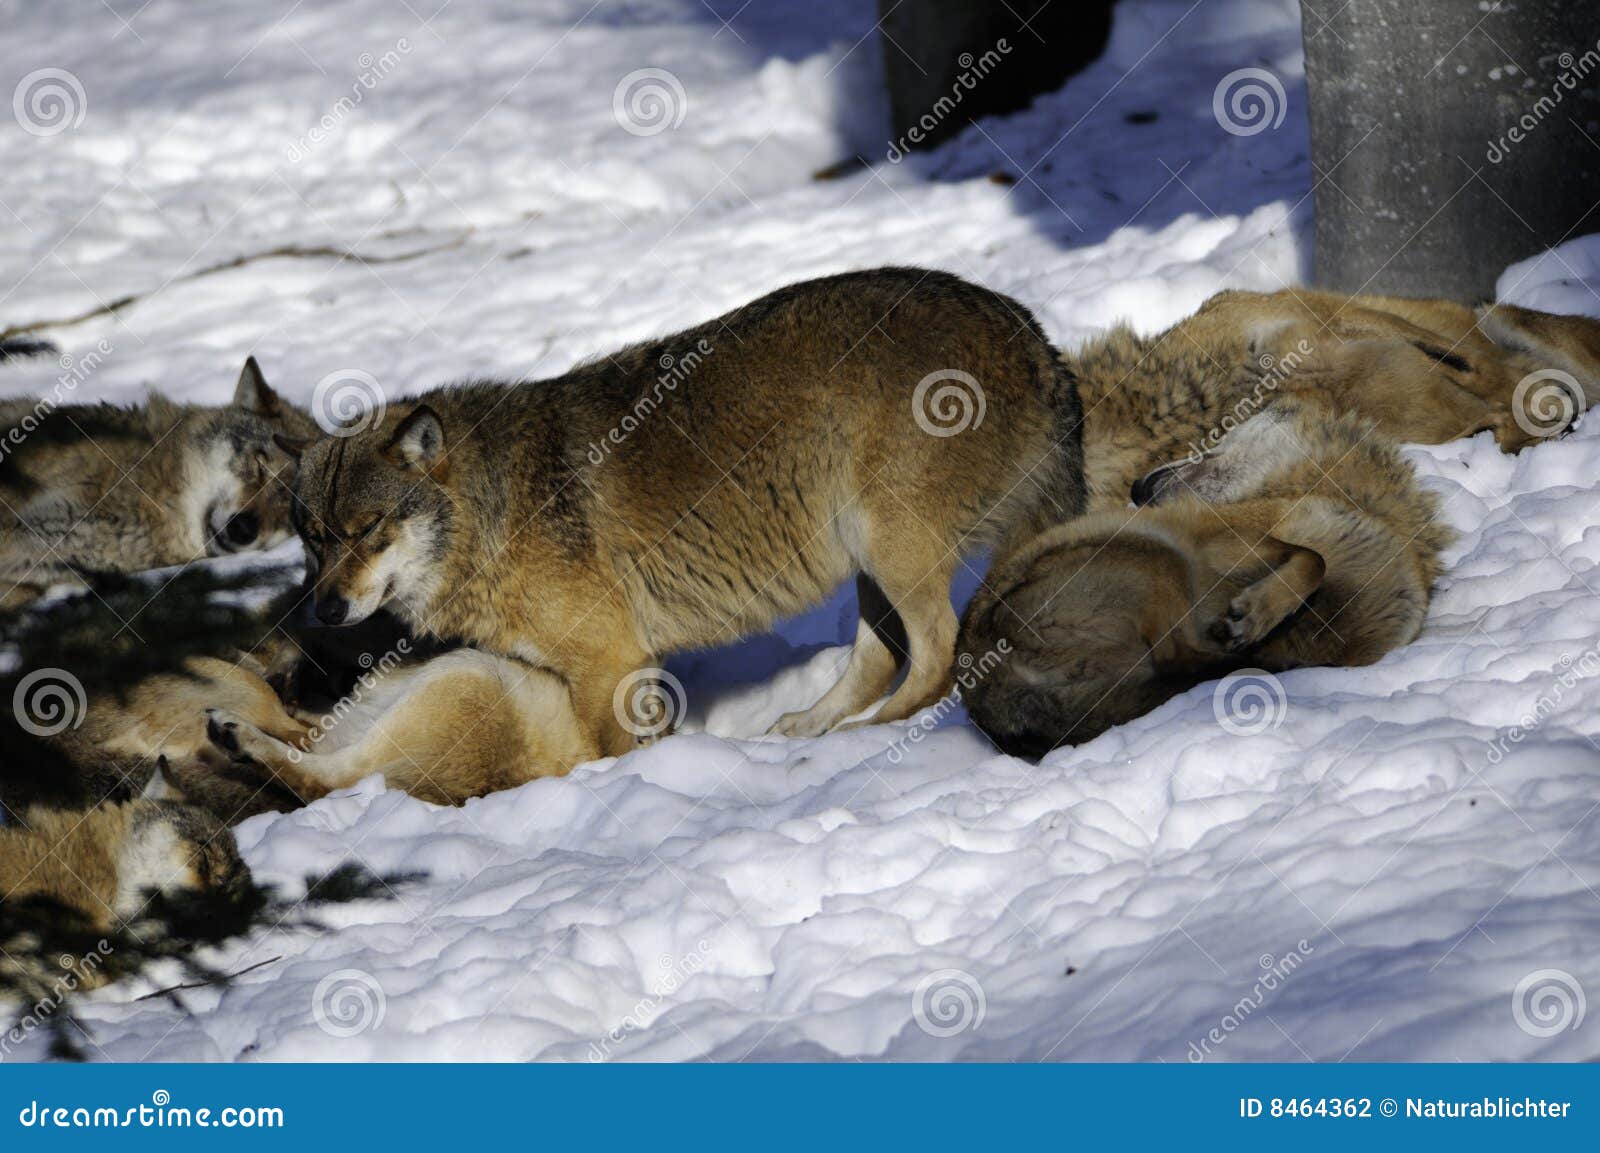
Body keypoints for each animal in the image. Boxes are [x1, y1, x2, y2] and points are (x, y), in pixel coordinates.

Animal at [278, 268, 1084, 755]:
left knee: (939, 651)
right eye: (315, 540)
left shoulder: (610, 665)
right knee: (883, 654)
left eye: (369, 531)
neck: (493, 511)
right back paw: (811, 726)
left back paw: (869, 734)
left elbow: (602, 754)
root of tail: (1026, 326)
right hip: (865, 557)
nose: (324, 609)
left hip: (891, 547)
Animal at [958, 396, 1453, 758]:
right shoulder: (1231, 539)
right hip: (1154, 552)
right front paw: (1254, 615)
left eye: (1215, 438)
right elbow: (1313, 560)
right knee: (1181, 659)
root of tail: (982, 692)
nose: (1139, 488)